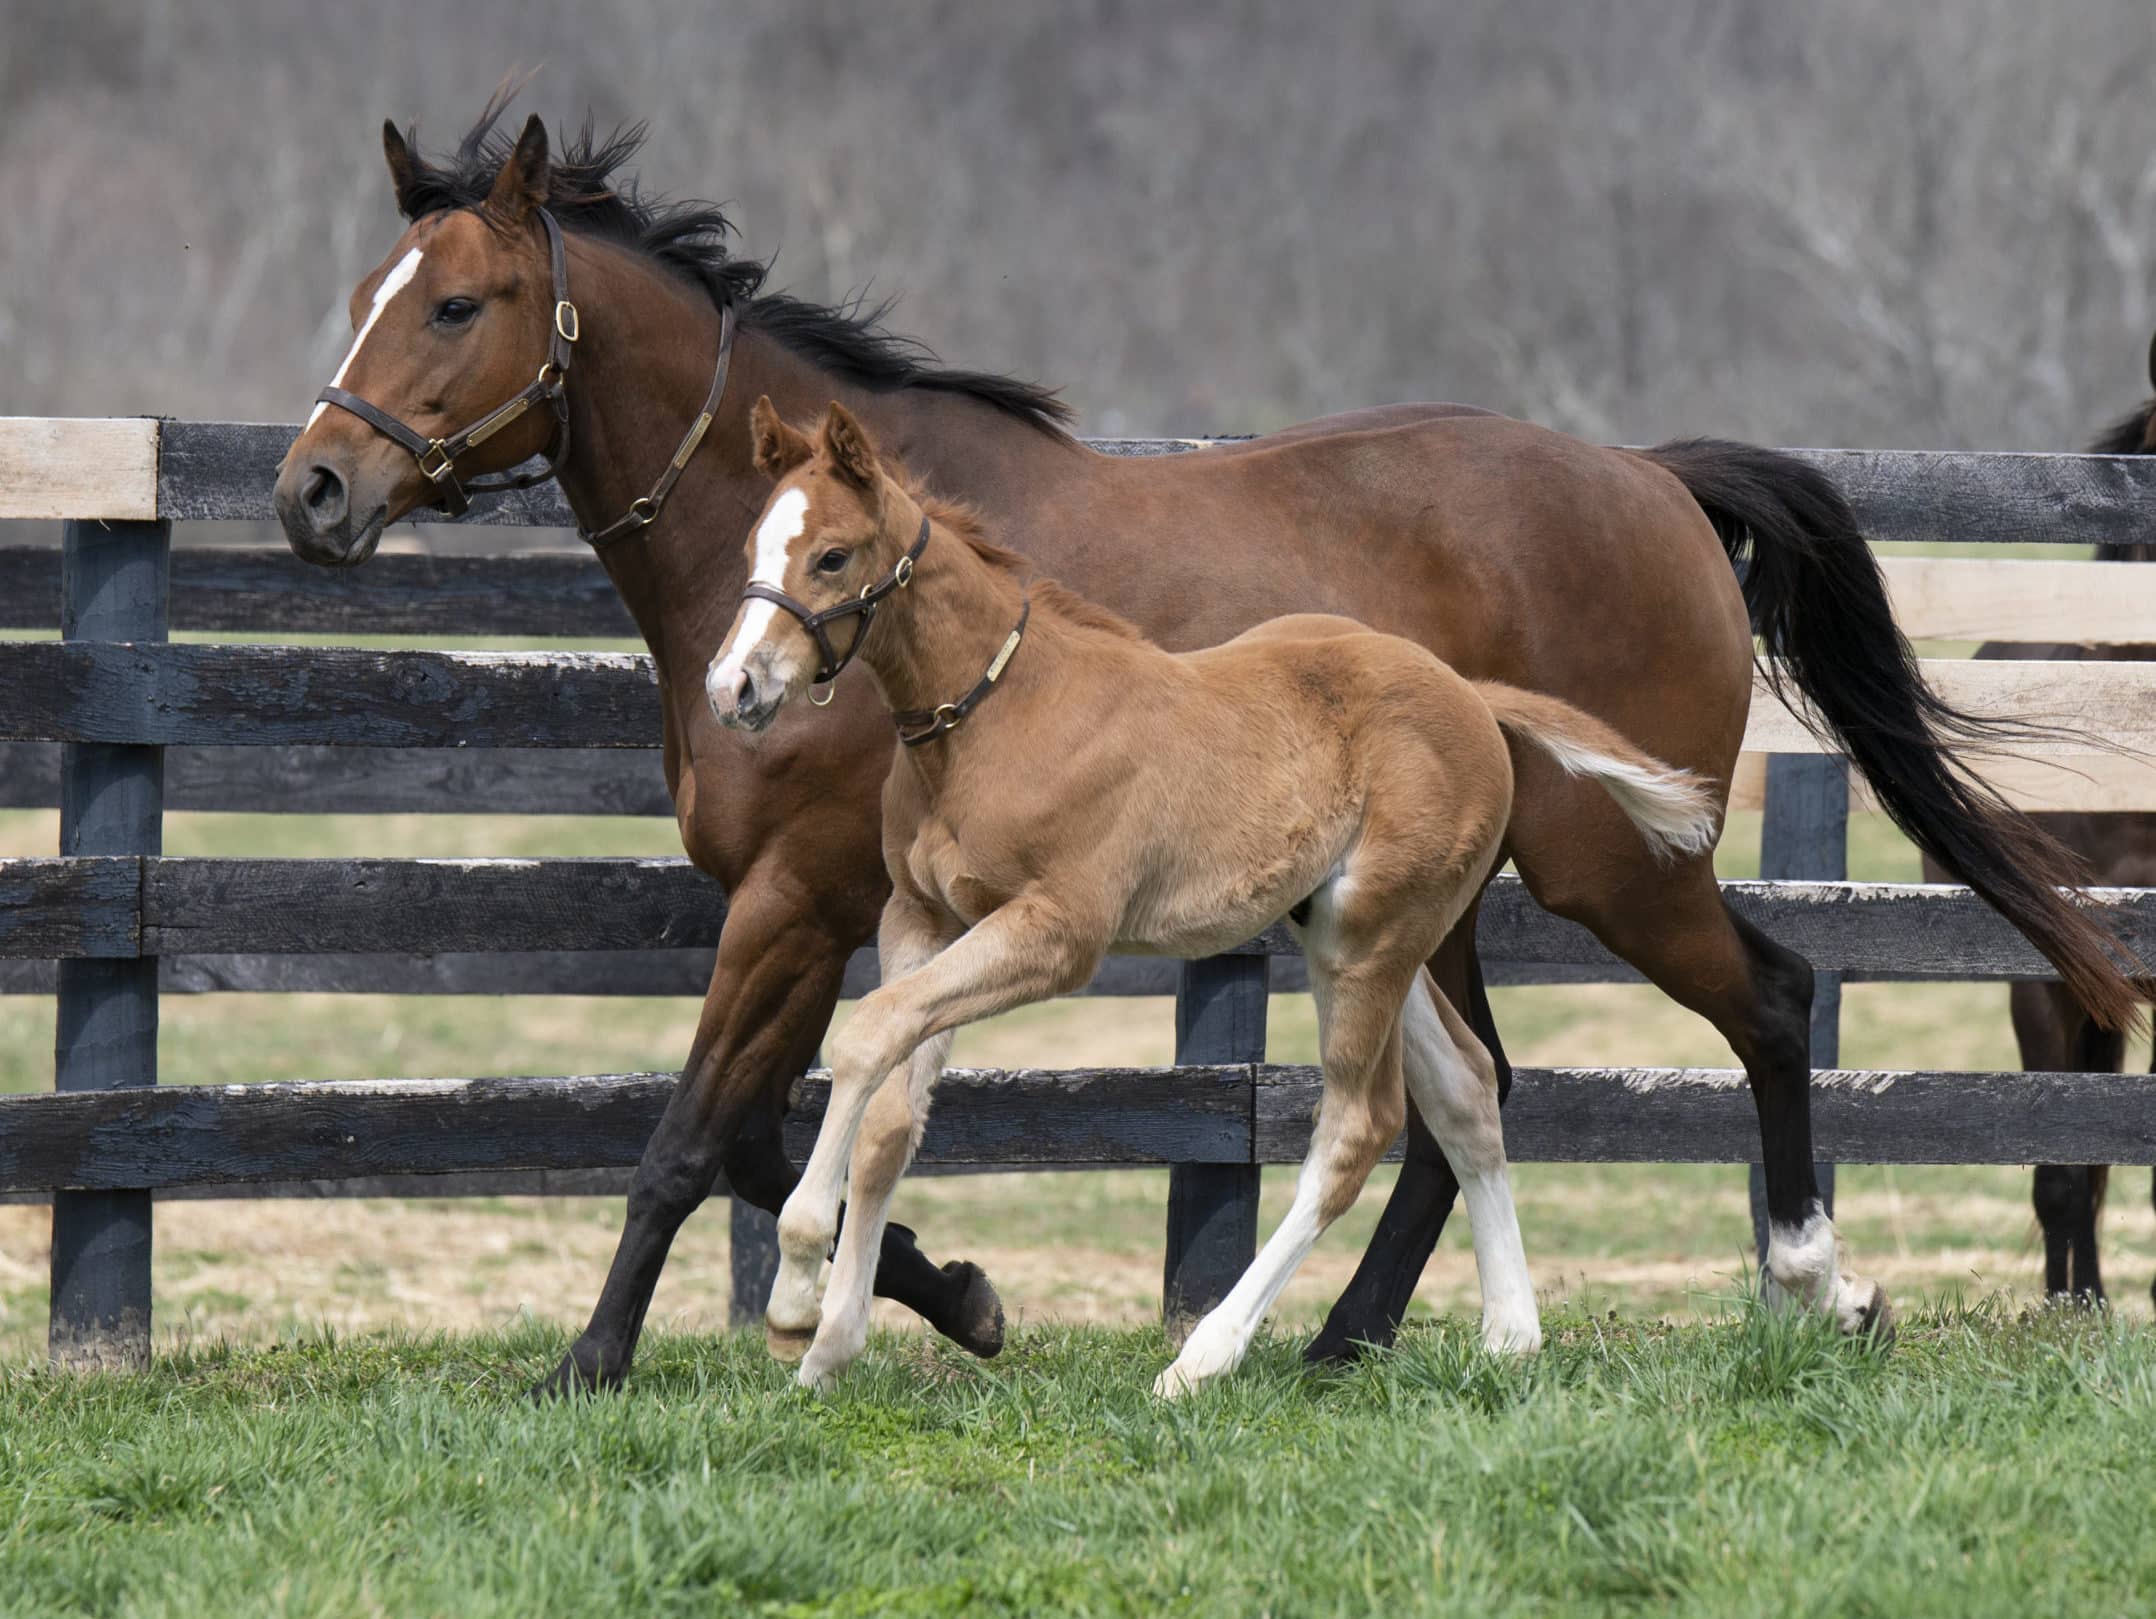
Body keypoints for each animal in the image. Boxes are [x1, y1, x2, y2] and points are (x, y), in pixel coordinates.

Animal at [704, 397, 1722, 1393]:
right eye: (750, 543)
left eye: (832, 555)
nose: (732, 687)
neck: (994, 717)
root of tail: (1471, 694)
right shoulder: (922, 919)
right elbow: (888, 1113)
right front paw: (832, 1342)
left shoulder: (1055, 933)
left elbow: (867, 1032)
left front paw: (793, 1298)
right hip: (1356, 934)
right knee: (1466, 1085)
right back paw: (1510, 1332)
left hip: (1369, 943)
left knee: (1358, 1128)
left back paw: (1204, 1357)